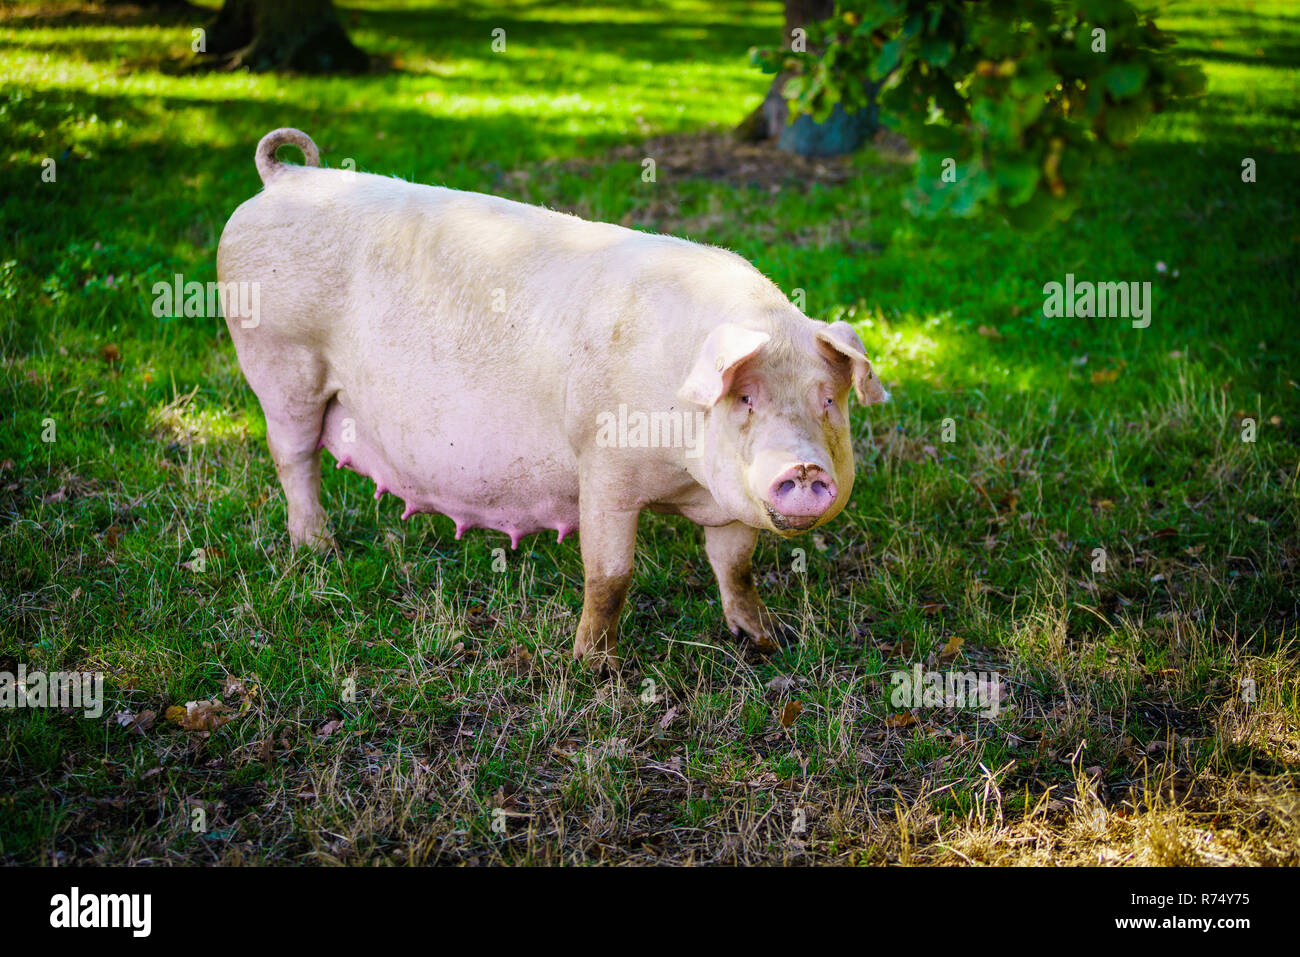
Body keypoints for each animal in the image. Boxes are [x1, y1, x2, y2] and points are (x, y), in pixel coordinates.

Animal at [217, 128, 889, 666]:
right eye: (746, 399)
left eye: (829, 401)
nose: (804, 467)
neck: (684, 478)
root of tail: (284, 176)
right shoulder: (604, 464)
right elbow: (610, 575)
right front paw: (595, 668)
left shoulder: (728, 504)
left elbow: (736, 566)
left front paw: (765, 642)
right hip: (281, 364)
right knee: (293, 456)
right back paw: (318, 549)